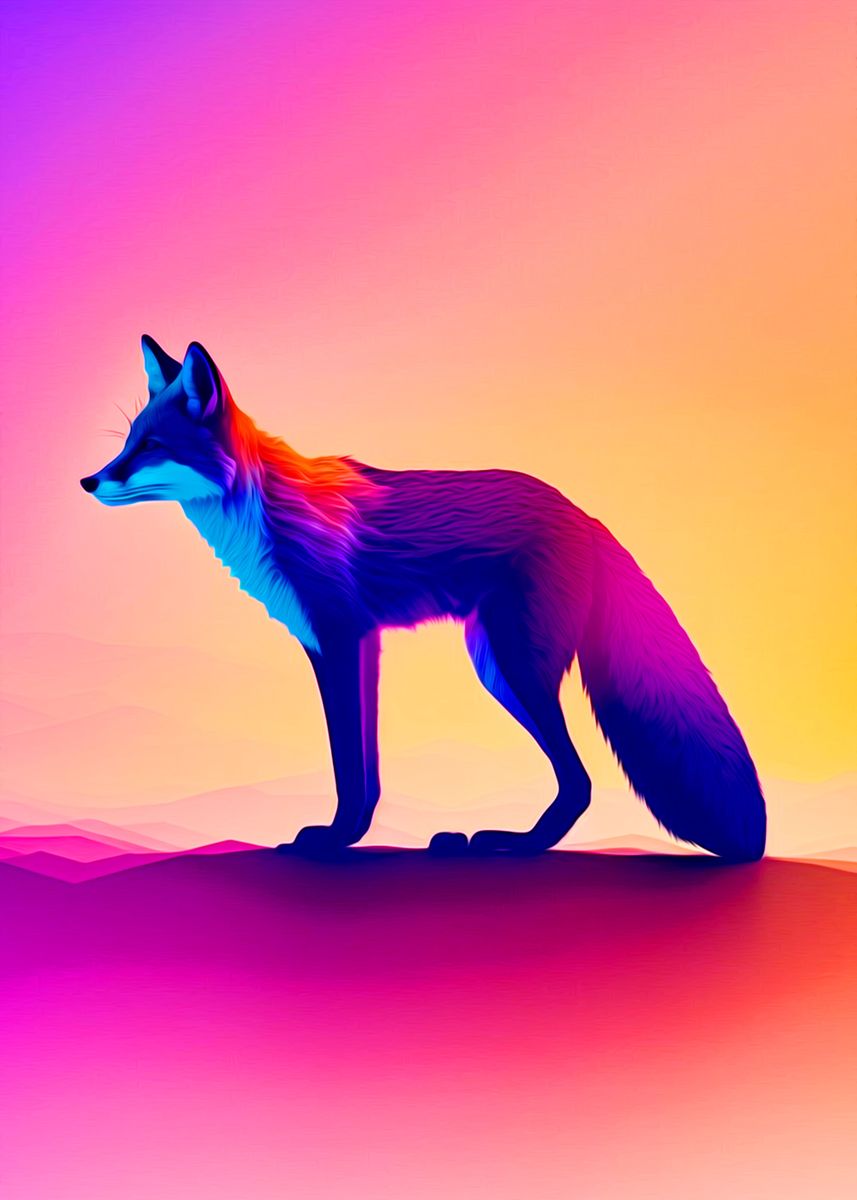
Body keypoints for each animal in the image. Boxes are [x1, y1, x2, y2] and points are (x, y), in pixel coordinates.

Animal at [81, 336, 766, 860]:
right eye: (128, 440)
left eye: (151, 447)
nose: (89, 480)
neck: (264, 509)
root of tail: (586, 516)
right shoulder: (355, 645)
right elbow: (365, 769)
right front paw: (350, 836)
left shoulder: (338, 636)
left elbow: (348, 763)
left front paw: (333, 840)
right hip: (498, 663)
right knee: (577, 782)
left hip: (510, 664)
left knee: (580, 782)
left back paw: (513, 844)